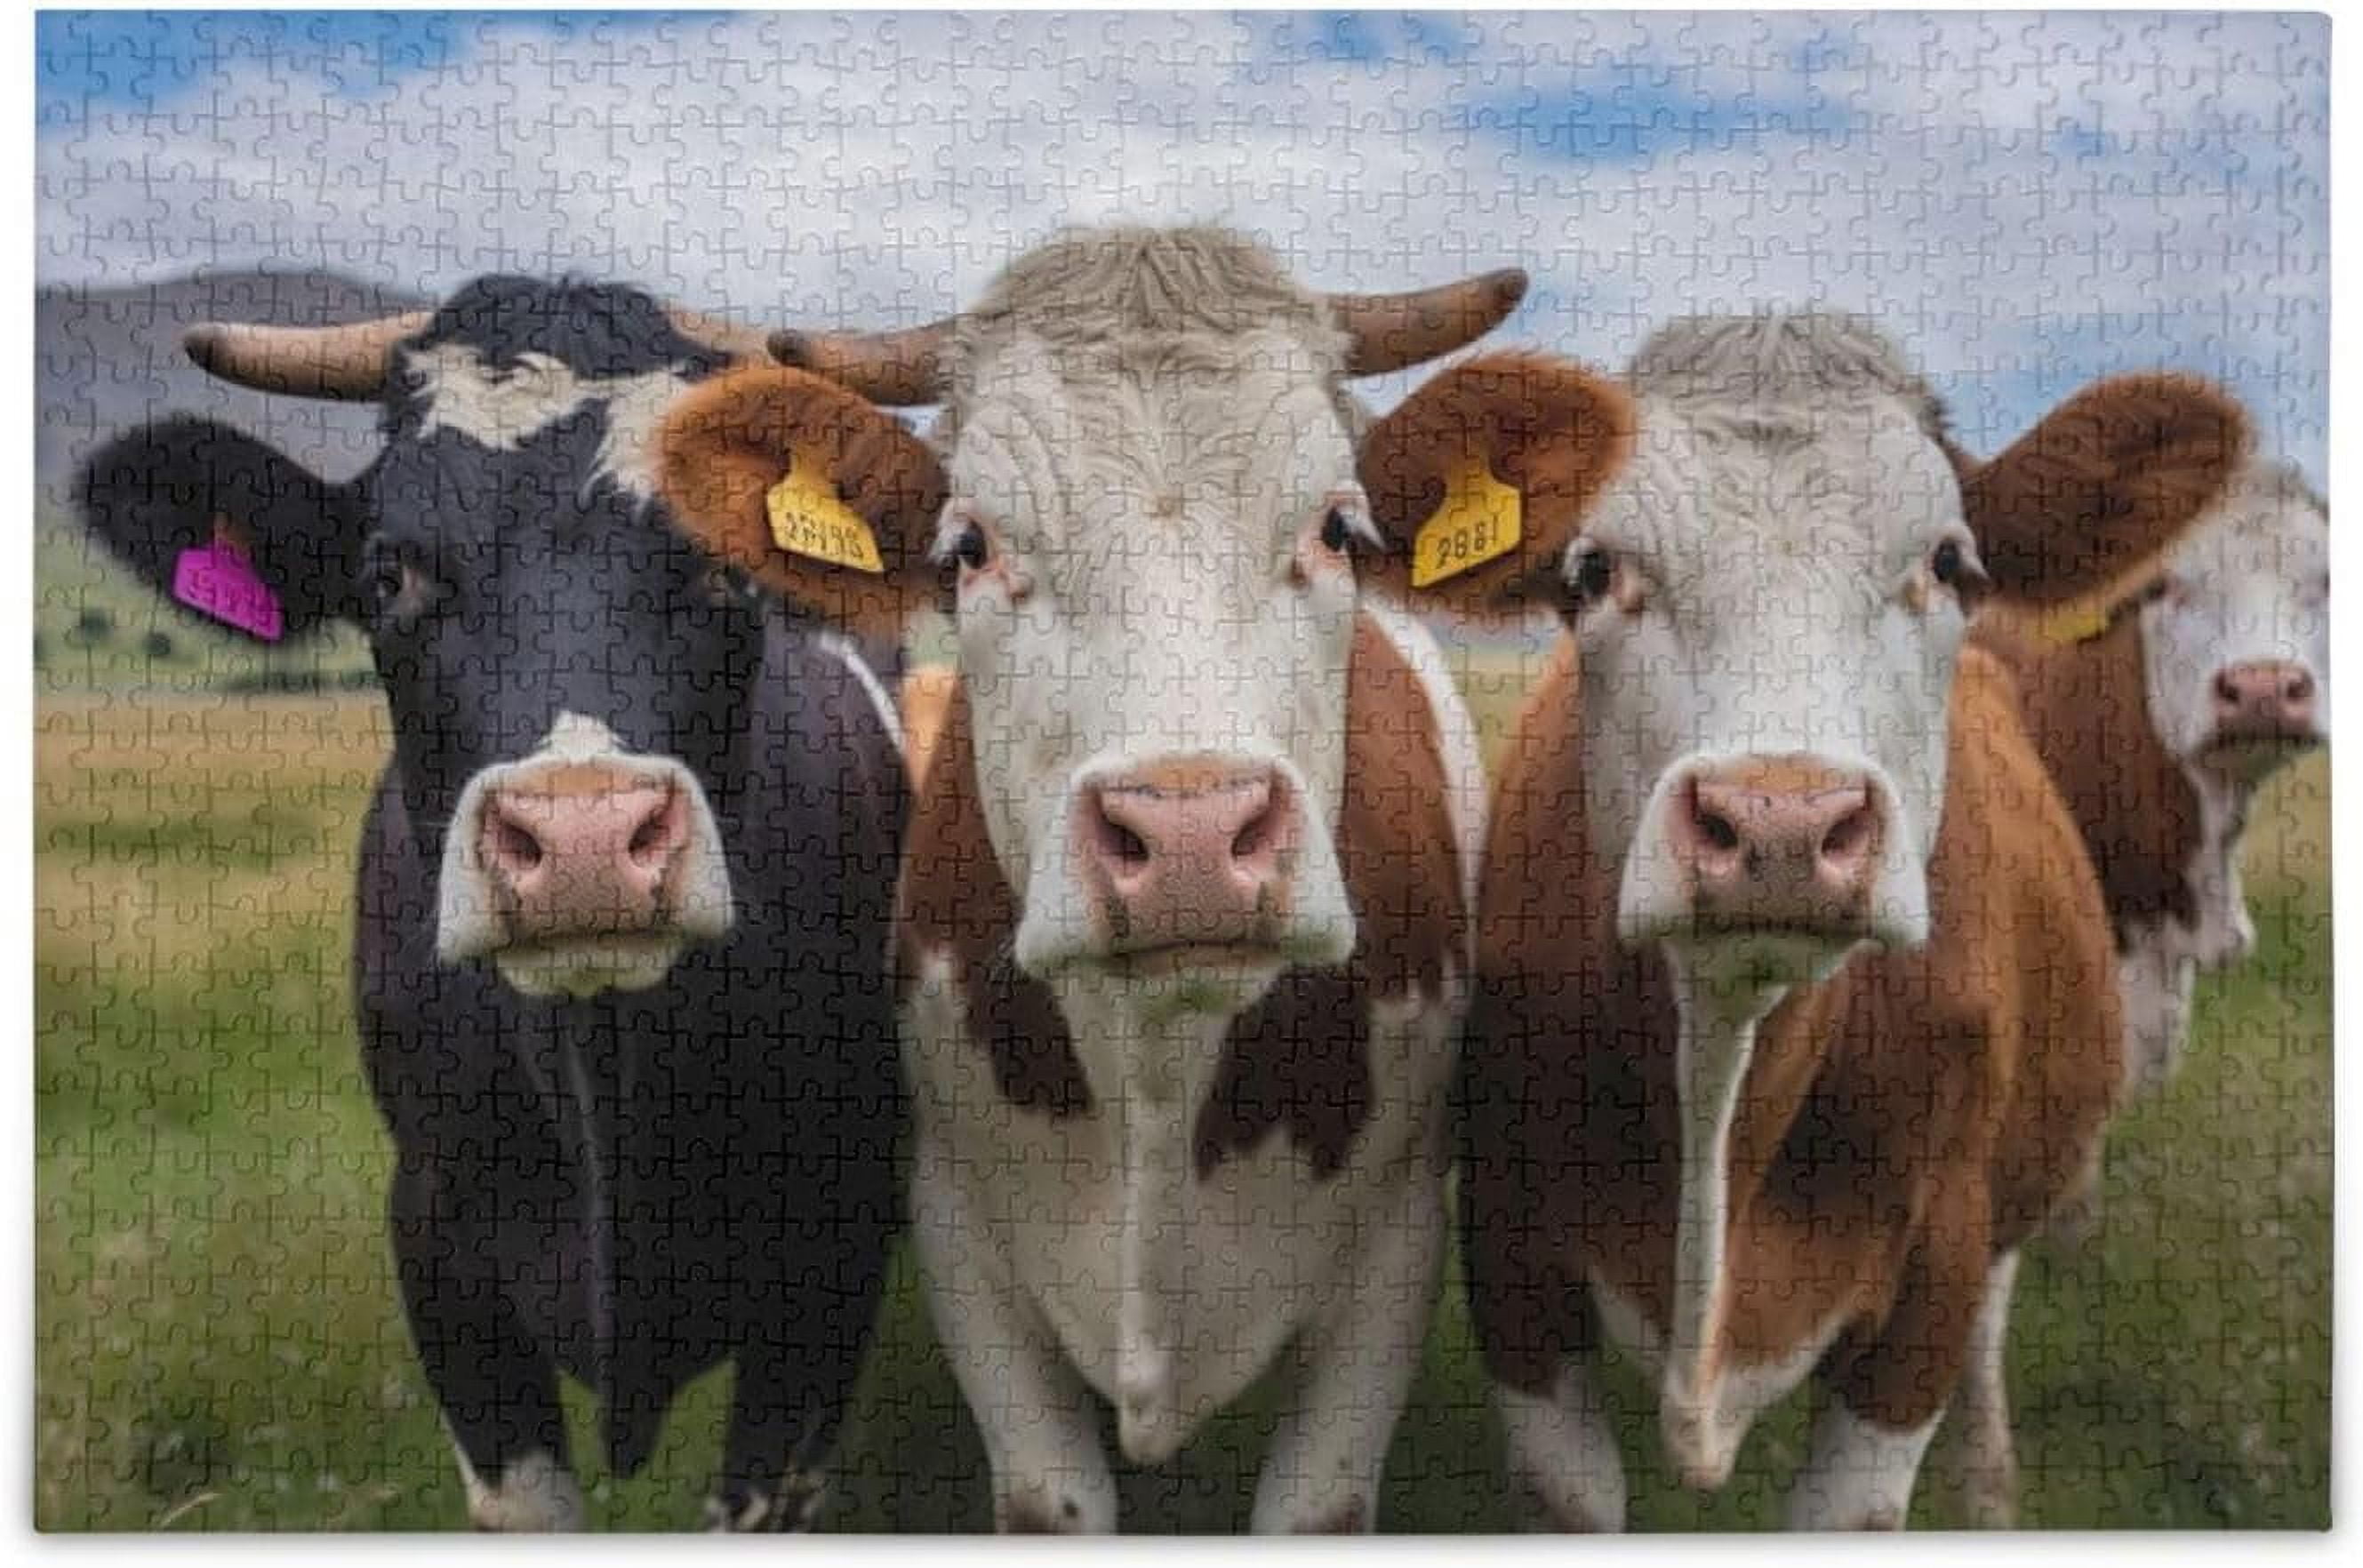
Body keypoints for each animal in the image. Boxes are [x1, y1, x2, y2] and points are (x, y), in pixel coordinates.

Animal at [648, 225, 1532, 1532]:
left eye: (1336, 530)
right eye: (970, 547)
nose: (1190, 838)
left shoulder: (1395, 1244)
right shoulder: (963, 1232)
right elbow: (1048, 1497)